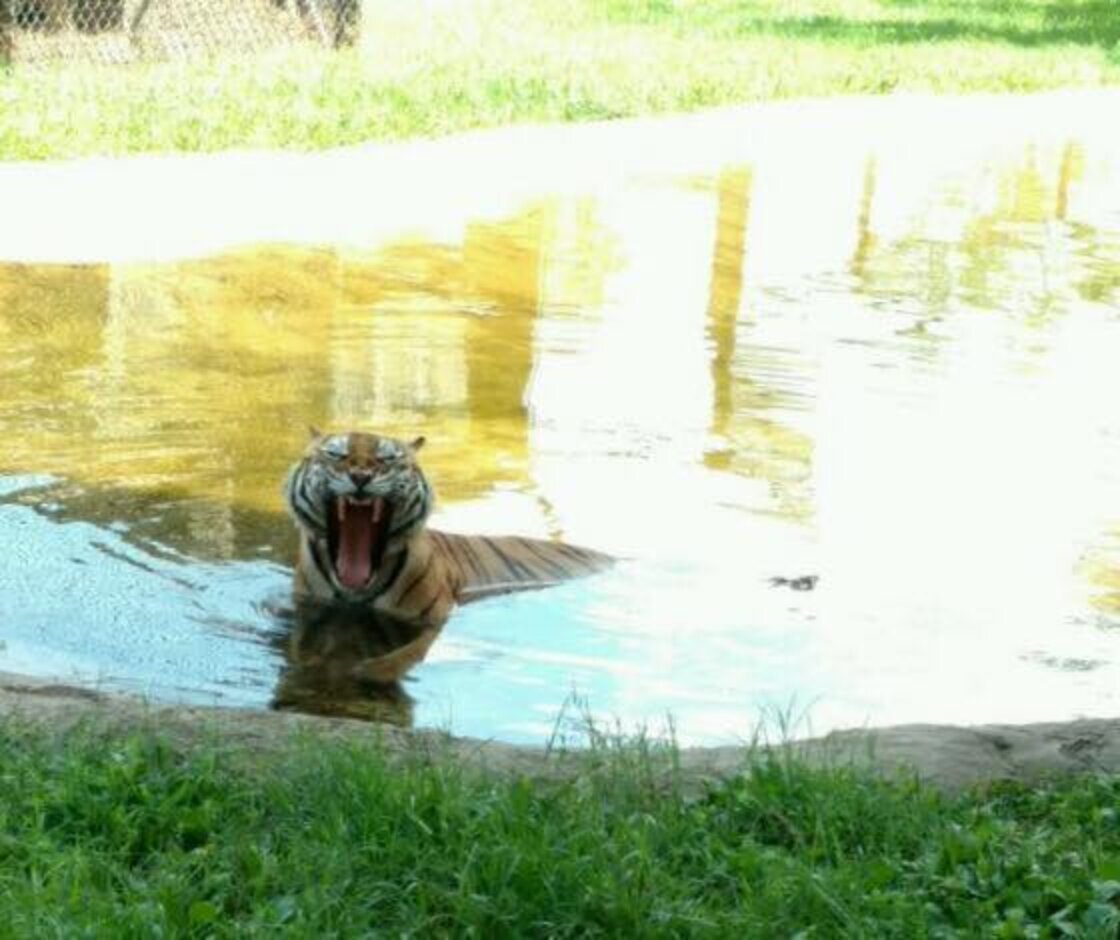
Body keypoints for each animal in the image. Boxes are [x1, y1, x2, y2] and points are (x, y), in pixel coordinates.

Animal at [283, 429, 613, 683]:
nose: (360, 476)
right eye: (335, 454)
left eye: (388, 459)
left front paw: (373, 670)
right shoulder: (306, 607)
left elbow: (412, 652)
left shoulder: (434, 619)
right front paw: (314, 665)